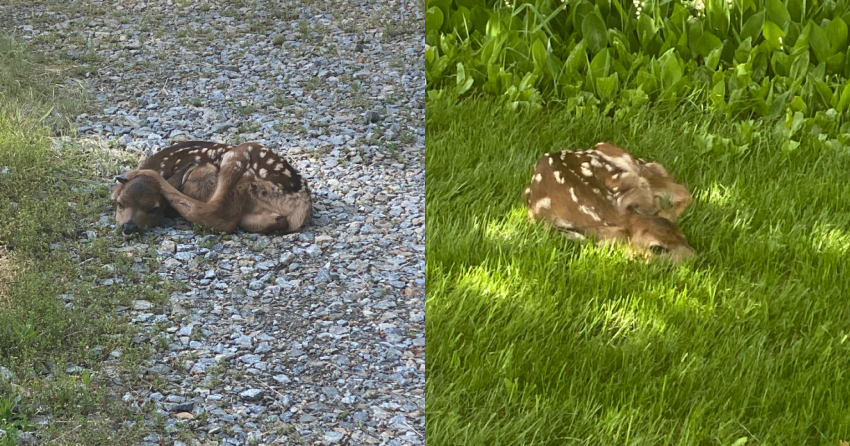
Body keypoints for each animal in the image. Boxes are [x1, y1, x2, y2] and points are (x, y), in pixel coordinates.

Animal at [111, 141, 312, 236]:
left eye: (153, 209)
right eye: (120, 204)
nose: (129, 227)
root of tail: (302, 197)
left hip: (240, 155)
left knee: (217, 214)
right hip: (251, 215)